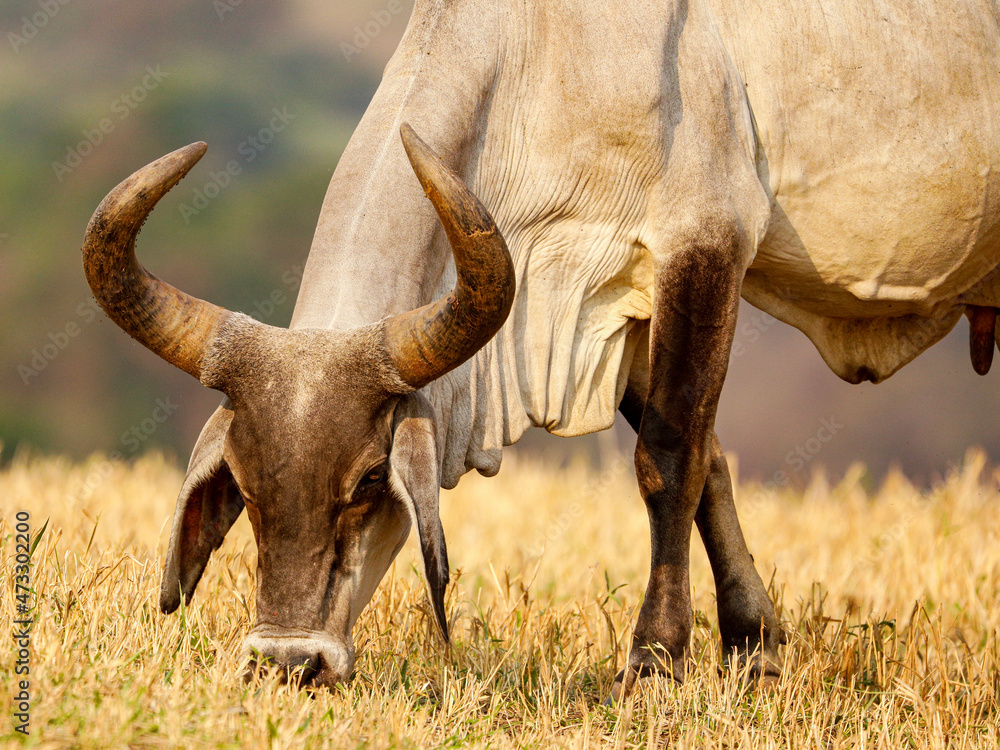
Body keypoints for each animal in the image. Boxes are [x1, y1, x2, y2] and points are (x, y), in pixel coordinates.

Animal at [82, 0, 1000, 697]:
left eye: (370, 480)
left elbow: (671, 460)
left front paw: (655, 663)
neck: (549, 54)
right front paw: (754, 648)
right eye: (240, 483)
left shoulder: (706, 247)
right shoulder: (612, 308)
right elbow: (710, 463)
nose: (287, 662)